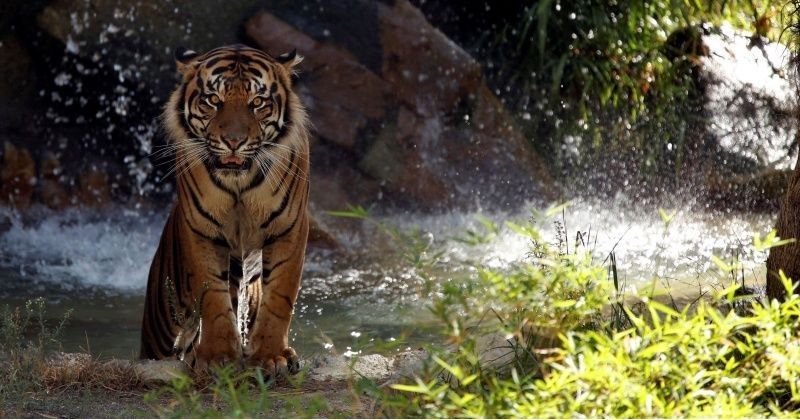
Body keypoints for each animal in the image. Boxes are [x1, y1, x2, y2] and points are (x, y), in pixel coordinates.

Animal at [139, 44, 310, 378]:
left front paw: (270, 357)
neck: (239, 183)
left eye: (257, 102)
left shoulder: (289, 227)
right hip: (161, 323)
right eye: (213, 100)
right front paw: (217, 357)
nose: (233, 141)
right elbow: (212, 298)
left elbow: (280, 296)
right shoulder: (200, 229)